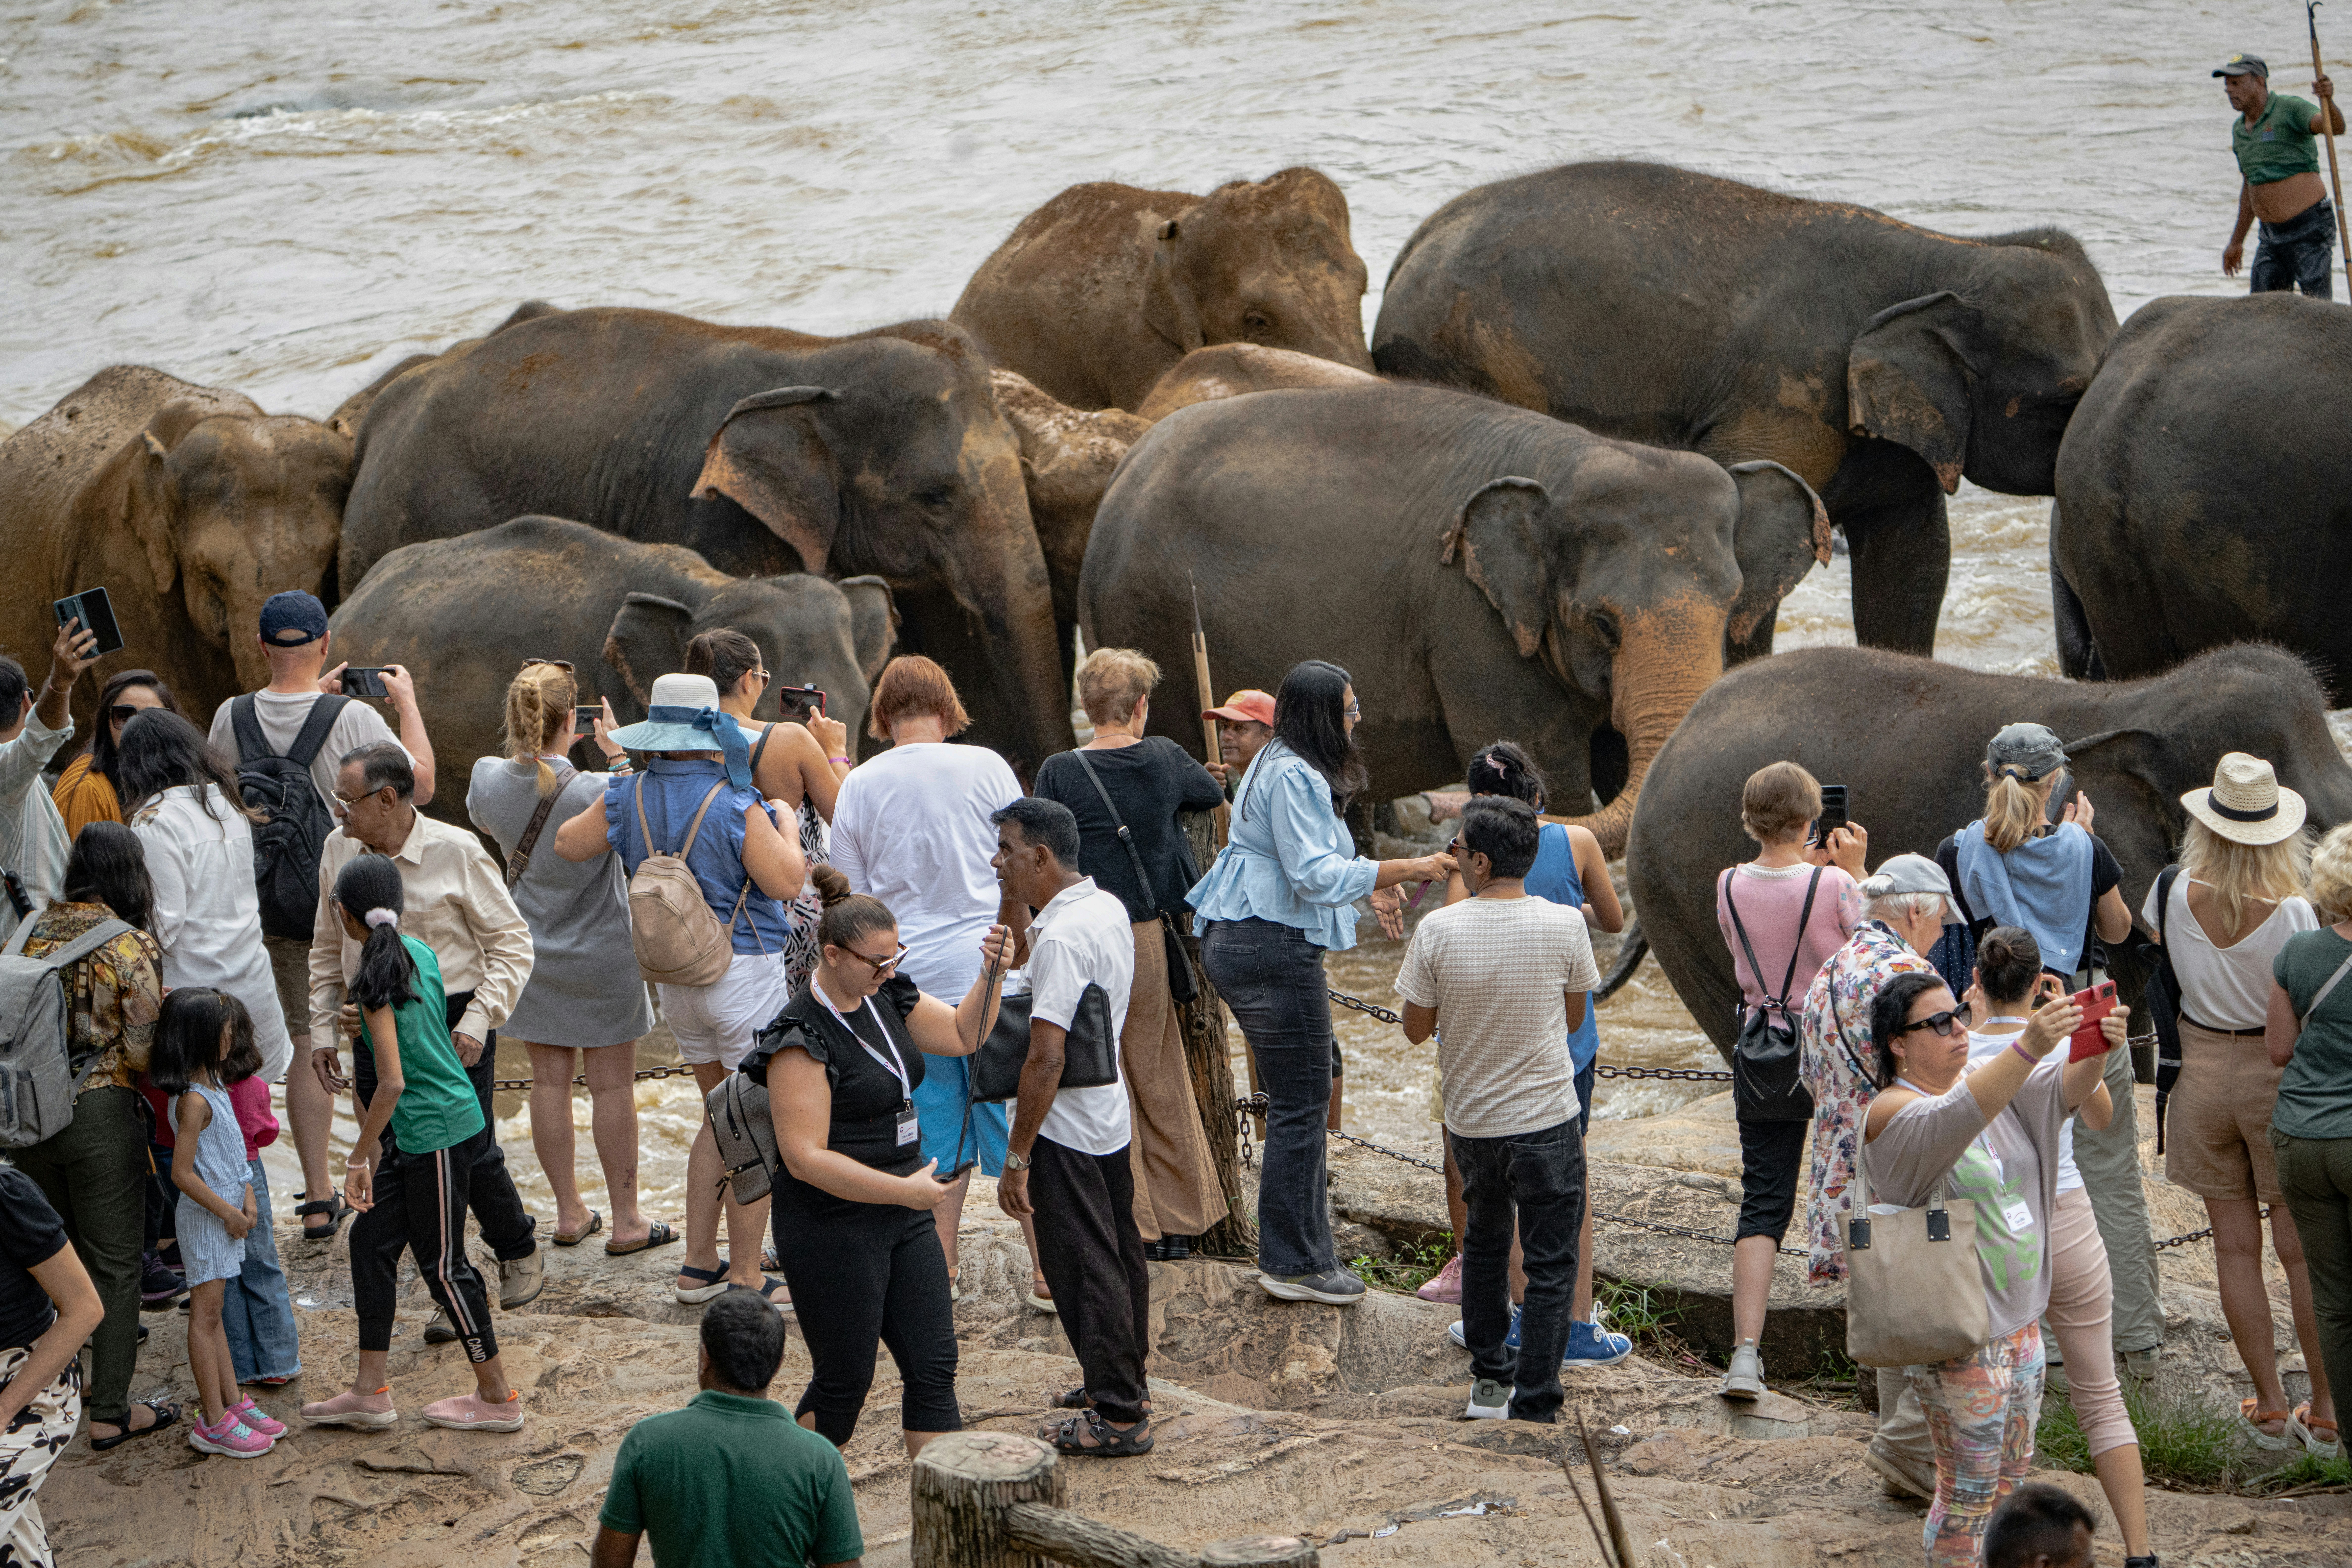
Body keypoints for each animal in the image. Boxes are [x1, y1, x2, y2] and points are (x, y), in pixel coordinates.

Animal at [1077, 382, 1829, 857]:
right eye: (1602, 624)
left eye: (1731, 609)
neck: (1577, 456)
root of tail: (1121, 474)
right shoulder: (1473, 625)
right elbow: (1551, 769)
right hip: (1148, 621)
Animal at [1372, 161, 2119, 655]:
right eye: (2066, 398)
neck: (1946, 254)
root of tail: (1407, 253)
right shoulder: (1787, 404)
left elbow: (1914, 563)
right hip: (1452, 361)